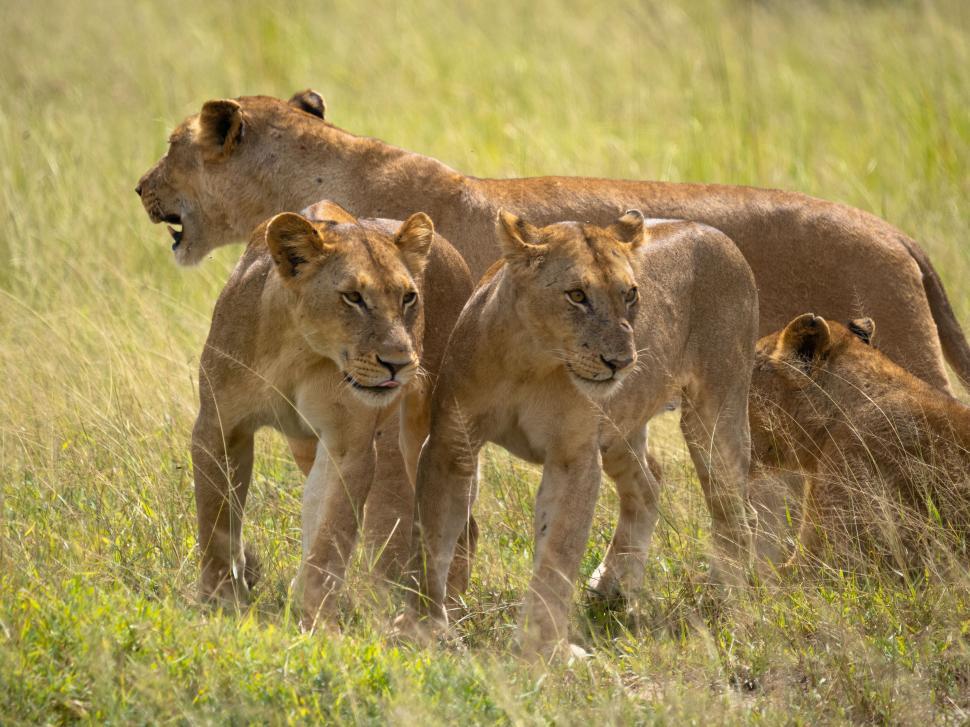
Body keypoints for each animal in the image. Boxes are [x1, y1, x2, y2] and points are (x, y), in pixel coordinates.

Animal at [191, 199, 471, 623]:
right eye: (353, 297)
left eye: (408, 297)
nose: (398, 363)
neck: (297, 349)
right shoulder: (219, 425)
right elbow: (216, 520)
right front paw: (220, 600)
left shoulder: (349, 445)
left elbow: (331, 538)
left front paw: (319, 622)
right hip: (304, 445)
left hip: (425, 433)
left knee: (460, 520)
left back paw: (441, 611)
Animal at [397, 210, 759, 655]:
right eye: (576, 295)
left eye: (630, 294)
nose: (621, 362)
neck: (531, 359)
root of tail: (713, 231)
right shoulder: (451, 443)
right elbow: (430, 539)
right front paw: (422, 629)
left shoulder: (574, 456)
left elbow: (558, 552)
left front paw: (541, 647)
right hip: (621, 427)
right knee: (649, 484)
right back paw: (613, 588)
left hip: (716, 413)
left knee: (733, 506)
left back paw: (727, 596)